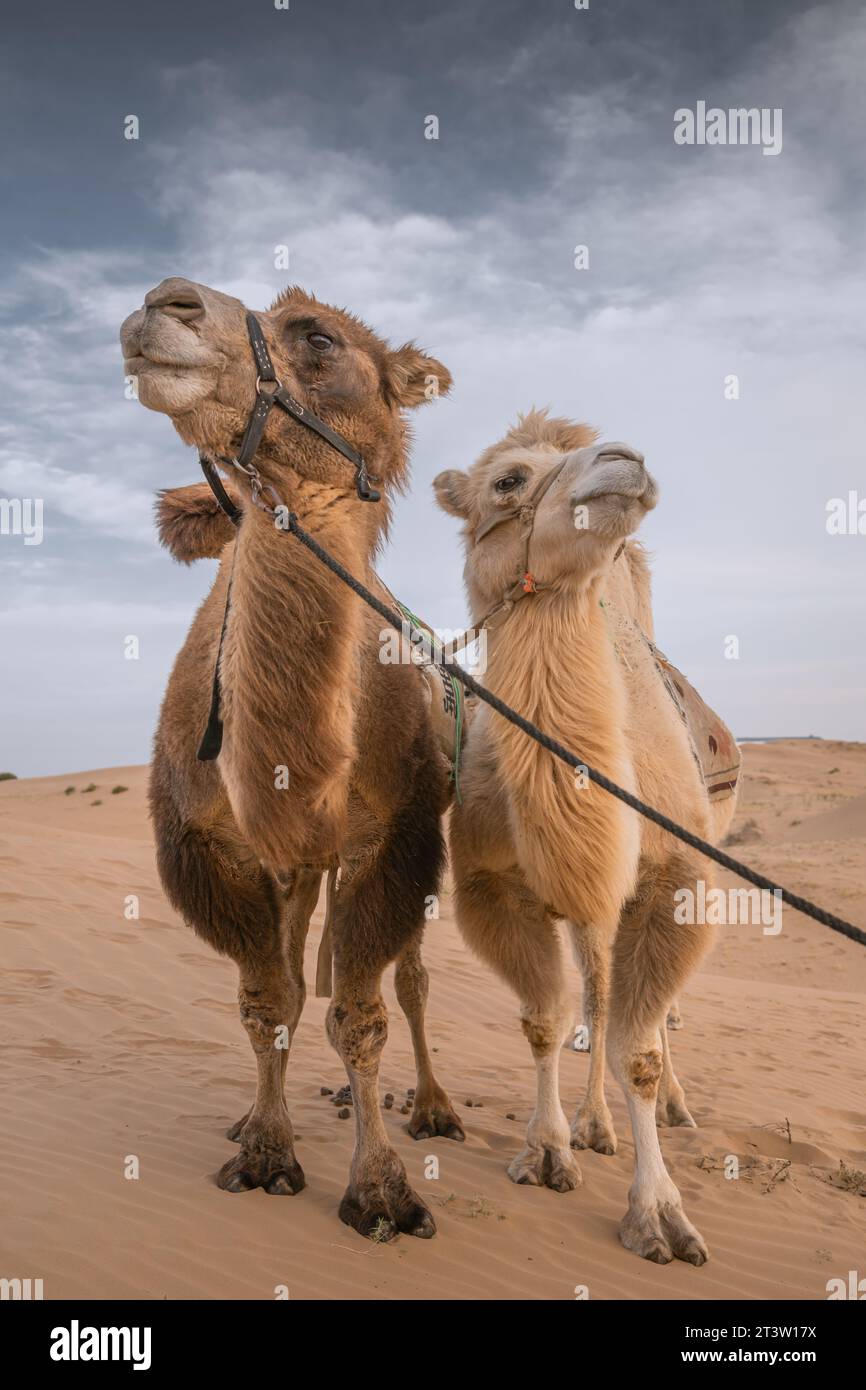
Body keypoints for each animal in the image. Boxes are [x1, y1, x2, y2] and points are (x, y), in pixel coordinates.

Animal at [120, 277, 465, 1241]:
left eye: (318, 337)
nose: (165, 301)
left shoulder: (395, 840)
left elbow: (361, 1015)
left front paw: (382, 1190)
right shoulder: (207, 846)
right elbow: (269, 1001)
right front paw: (267, 1152)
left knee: (412, 980)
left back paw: (432, 1109)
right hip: (296, 866)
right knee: (293, 968)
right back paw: (258, 1113)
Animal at [434, 410, 737, 1264]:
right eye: (507, 480)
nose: (625, 459)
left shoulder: (676, 883)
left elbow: (641, 1048)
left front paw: (659, 1212)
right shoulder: (494, 887)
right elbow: (545, 1019)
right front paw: (547, 1150)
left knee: (642, 1015)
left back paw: (671, 1110)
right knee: (597, 992)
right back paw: (597, 1126)